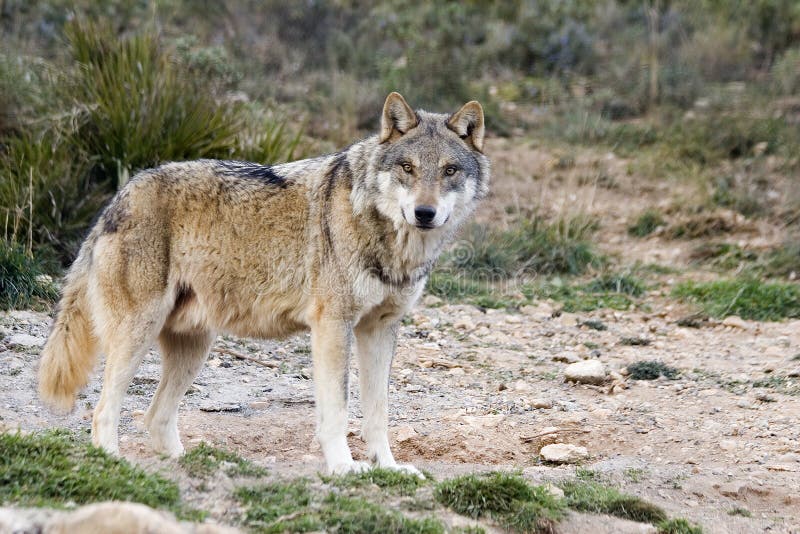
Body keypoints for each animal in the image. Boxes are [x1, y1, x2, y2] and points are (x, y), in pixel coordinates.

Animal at [38, 92, 490, 475]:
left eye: (449, 171)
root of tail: (119, 196)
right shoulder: (332, 326)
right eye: (407, 168)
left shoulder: (380, 329)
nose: (424, 213)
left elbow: (378, 413)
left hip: (193, 349)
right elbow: (338, 411)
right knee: (103, 411)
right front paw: (345, 468)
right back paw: (114, 463)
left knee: (154, 417)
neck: (390, 241)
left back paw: (201, 463)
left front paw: (390, 469)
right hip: (137, 336)